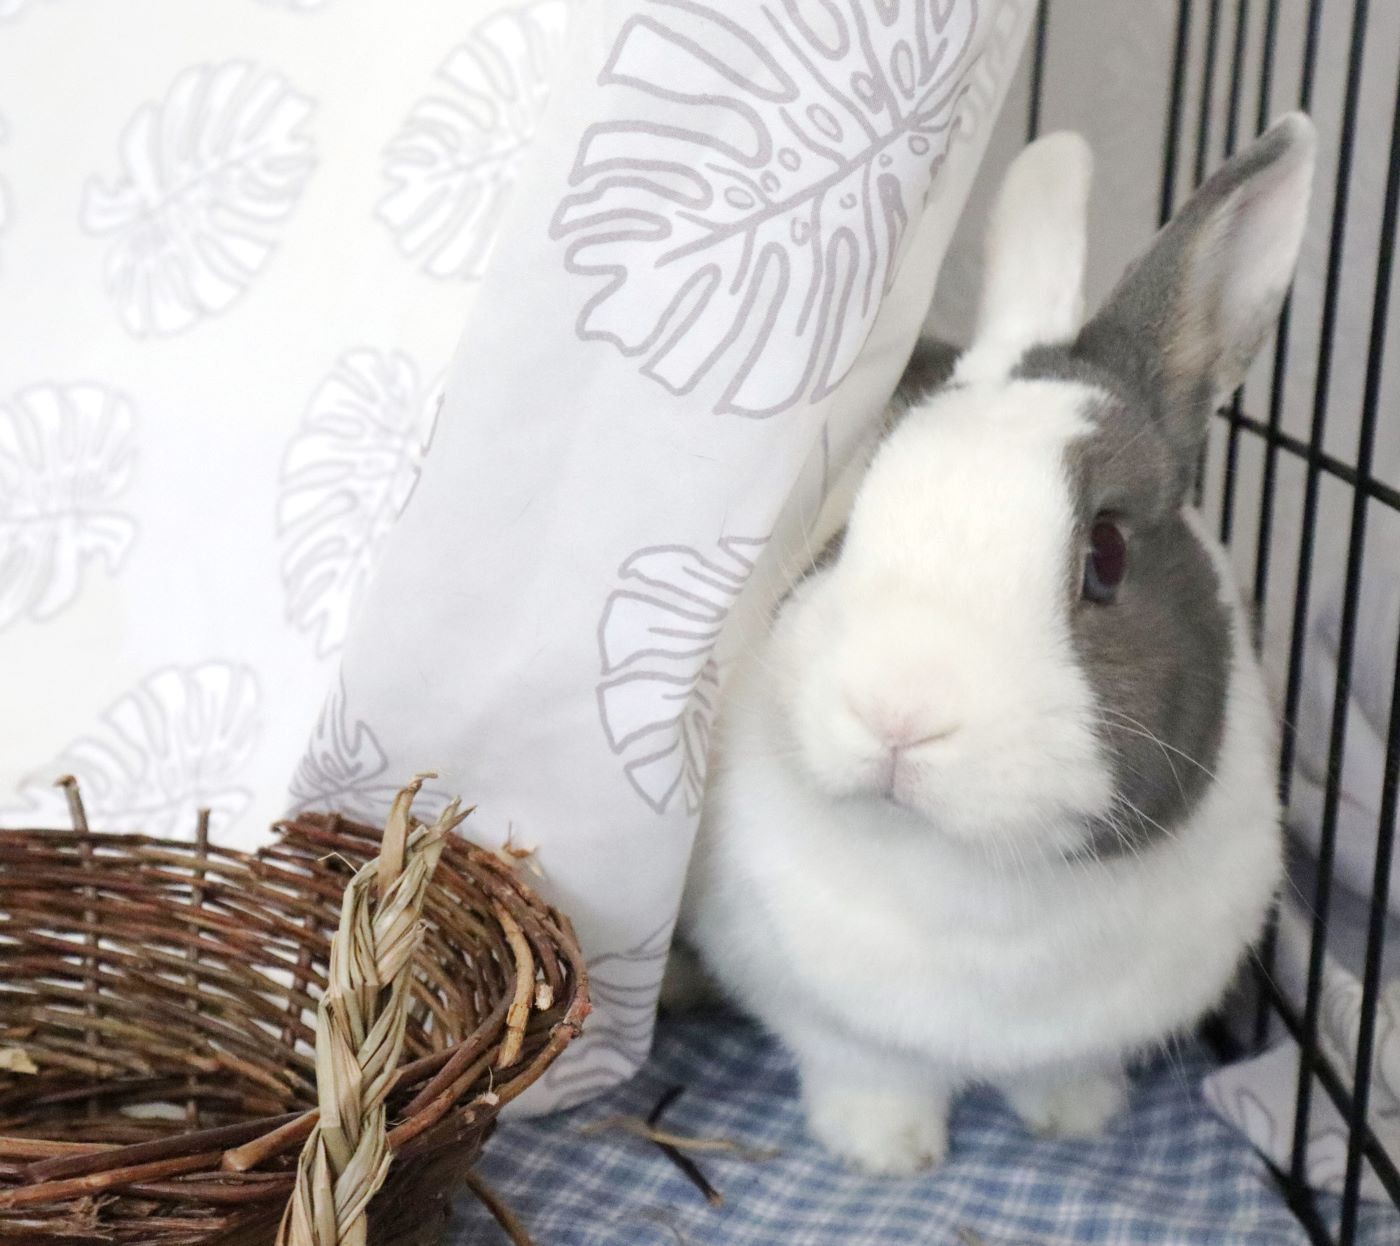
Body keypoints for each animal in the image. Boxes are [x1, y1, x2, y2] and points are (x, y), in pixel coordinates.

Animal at [675, 113, 1316, 1175]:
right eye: (843, 527)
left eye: (1106, 553)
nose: (897, 713)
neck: (980, 877)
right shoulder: (823, 1014)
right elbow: (868, 1073)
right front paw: (887, 1155)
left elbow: (1062, 1077)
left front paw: (1077, 1120)